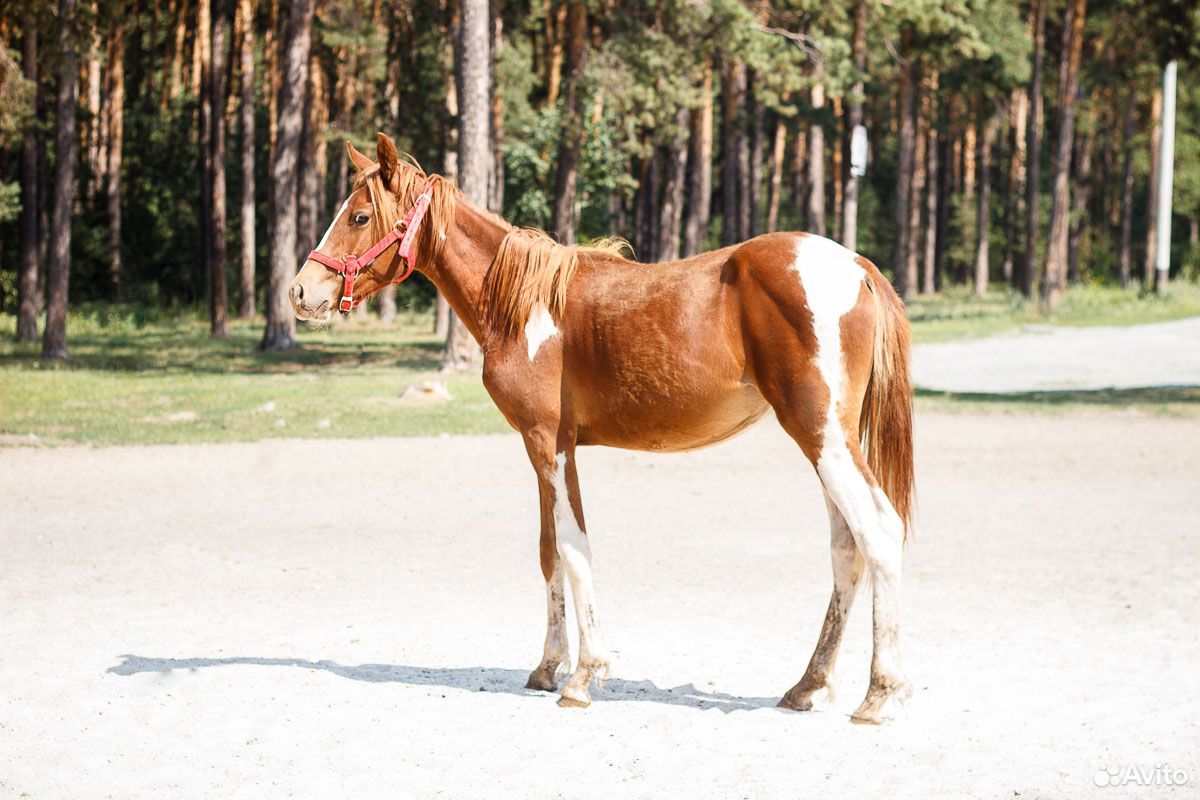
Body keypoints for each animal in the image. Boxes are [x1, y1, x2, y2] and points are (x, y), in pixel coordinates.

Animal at [290, 133, 916, 724]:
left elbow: (573, 548)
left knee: (879, 532)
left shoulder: (550, 444)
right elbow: (548, 552)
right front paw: (547, 668)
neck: (525, 304)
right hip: (825, 443)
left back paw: (877, 695)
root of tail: (856, 267)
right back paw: (807, 685)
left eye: (359, 216)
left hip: (823, 437)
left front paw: (583, 677)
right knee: (846, 548)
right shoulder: (541, 448)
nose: (300, 292)